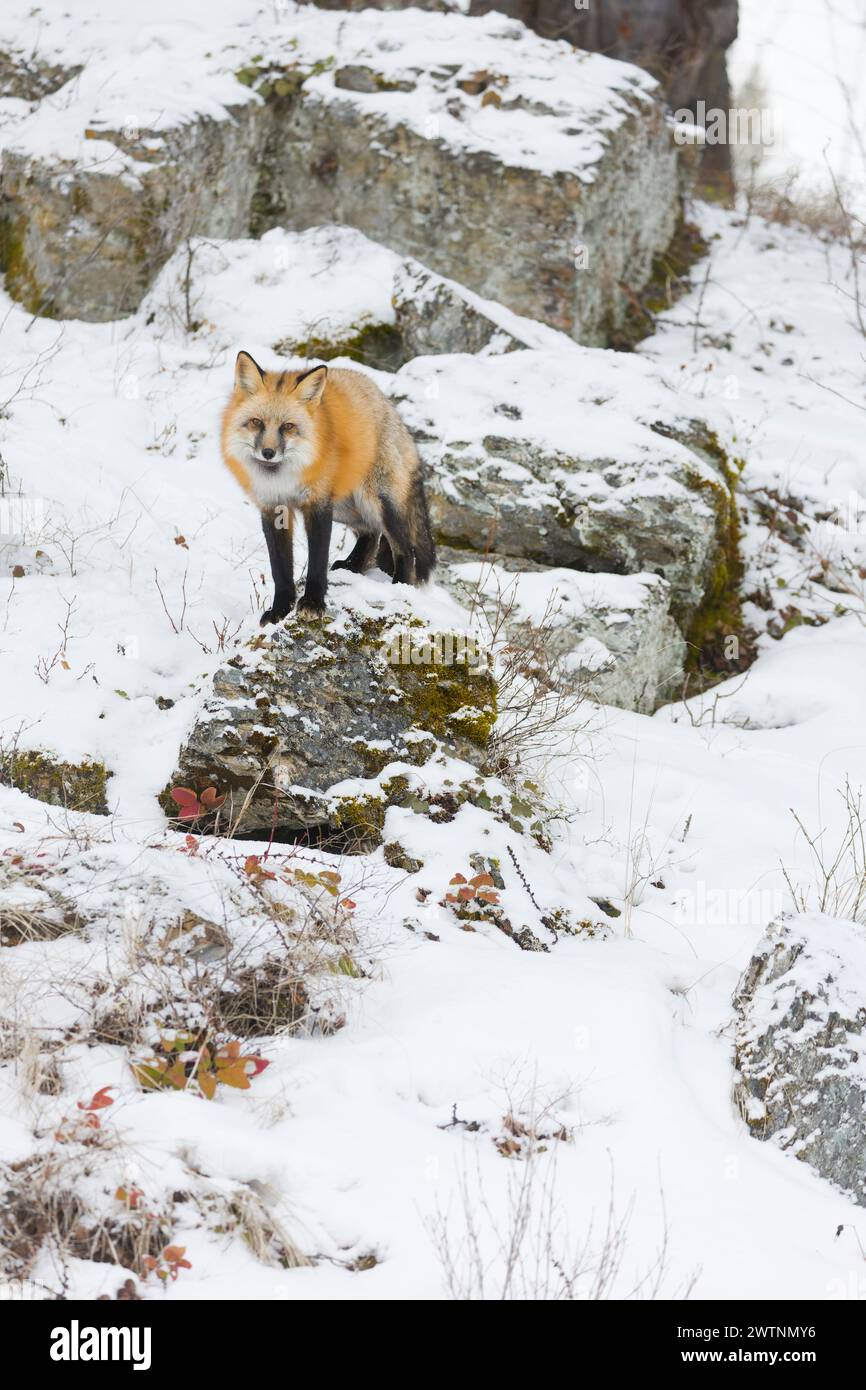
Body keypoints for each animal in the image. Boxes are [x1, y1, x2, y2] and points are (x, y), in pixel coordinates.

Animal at [221, 351, 436, 623]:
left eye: (287, 427)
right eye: (256, 422)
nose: (268, 453)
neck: (283, 478)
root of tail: (387, 404)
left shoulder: (318, 504)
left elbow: (317, 561)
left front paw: (312, 603)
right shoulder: (273, 508)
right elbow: (279, 568)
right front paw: (280, 609)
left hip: (376, 501)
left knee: (406, 549)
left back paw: (400, 588)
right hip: (346, 507)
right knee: (371, 533)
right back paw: (353, 566)